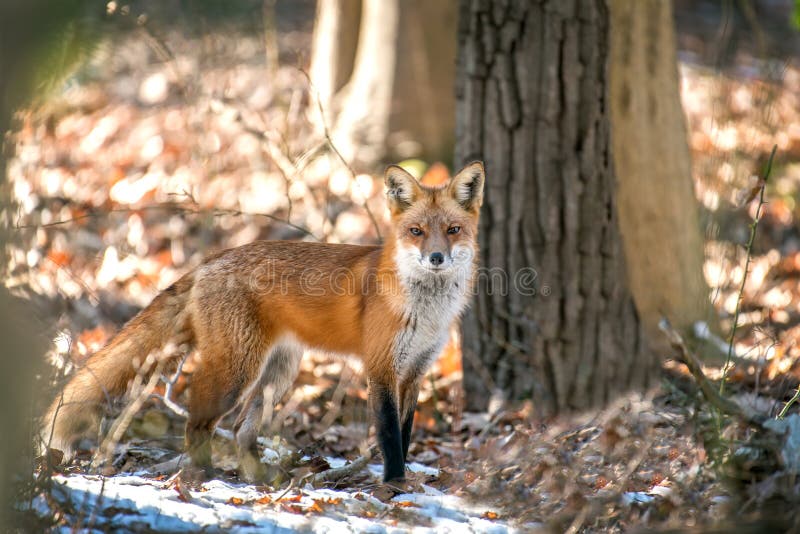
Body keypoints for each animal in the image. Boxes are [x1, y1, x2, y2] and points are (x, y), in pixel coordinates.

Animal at [41, 161, 485, 483]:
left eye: (452, 230)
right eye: (416, 231)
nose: (436, 258)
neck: (426, 311)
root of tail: (211, 260)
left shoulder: (414, 372)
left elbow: (406, 435)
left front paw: (408, 482)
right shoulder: (380, 370)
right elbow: (391, 437)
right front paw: (394, 488)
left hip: (277, 374)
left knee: (240, 431)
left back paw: (259, 479)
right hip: (237, 372)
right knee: (197, 421)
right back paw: (207, 476)